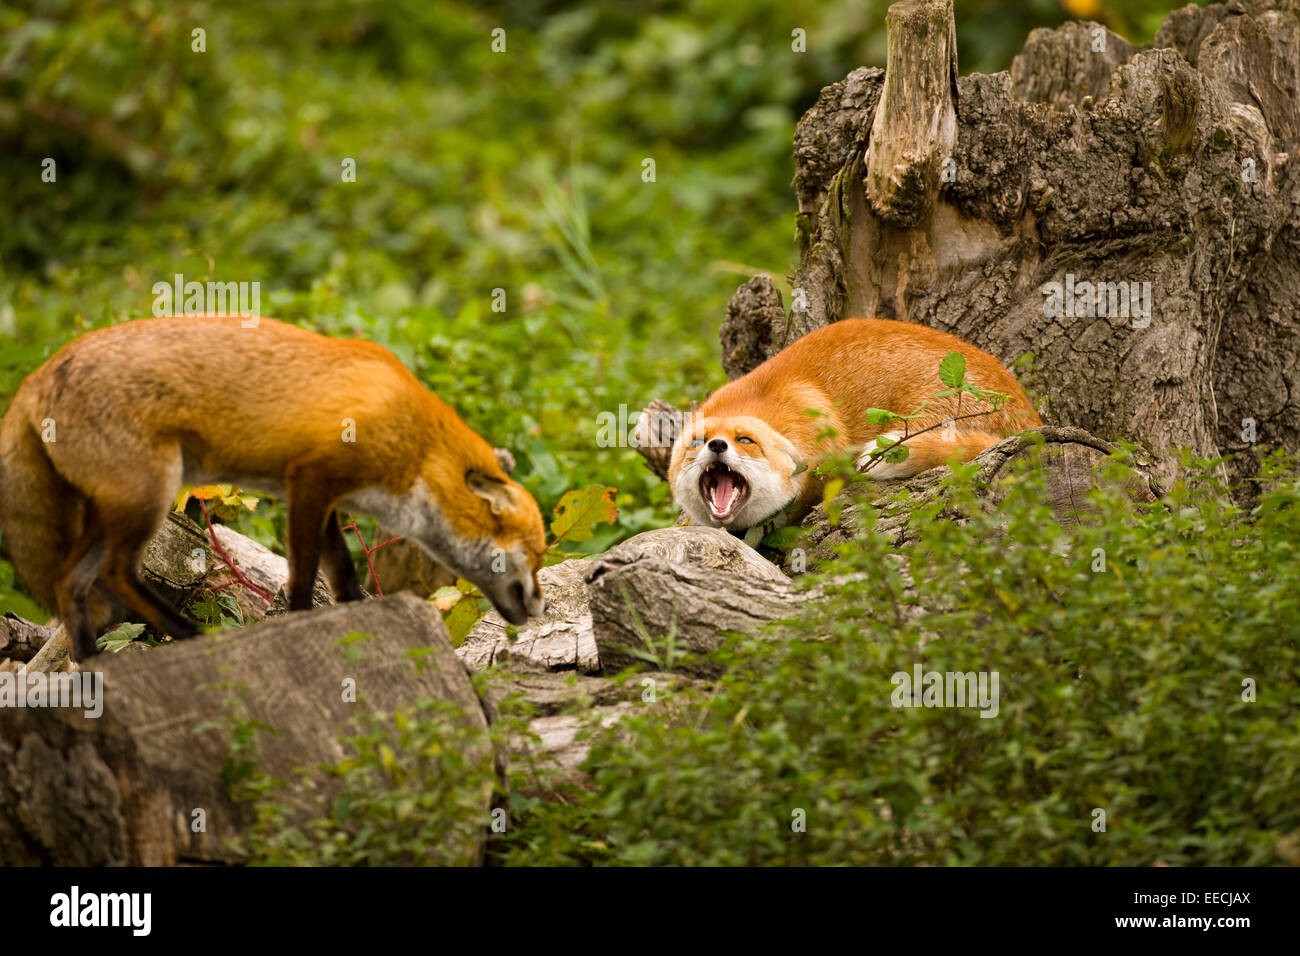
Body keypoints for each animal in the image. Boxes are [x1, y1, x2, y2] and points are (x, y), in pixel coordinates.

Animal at [0, 315, 548, 663]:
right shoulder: (309, 478)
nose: (542, 608)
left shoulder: (327, 497)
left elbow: (343, 575)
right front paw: (301, 629)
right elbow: (303, 578)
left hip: (110, 510)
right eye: (536, 555)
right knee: (115, 574)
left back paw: (92, 661)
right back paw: (188, 636)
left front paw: (359, 617)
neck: (415, 441)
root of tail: (36, 375)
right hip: (148, 496)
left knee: (68, 581)